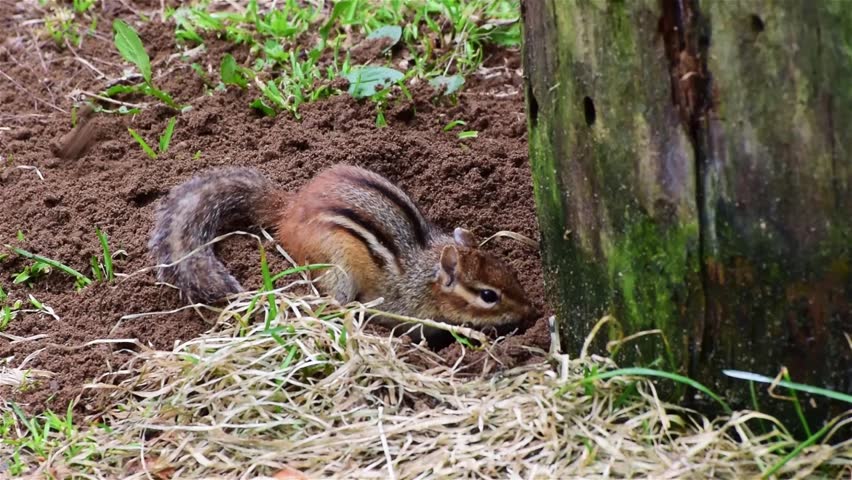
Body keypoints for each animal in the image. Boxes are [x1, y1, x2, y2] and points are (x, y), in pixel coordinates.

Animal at [148, 164, 537, 338]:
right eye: (488, 296)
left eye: (511, 272)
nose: (530, 311)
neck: (422, 276)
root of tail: (289, 211)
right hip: (336, 267)